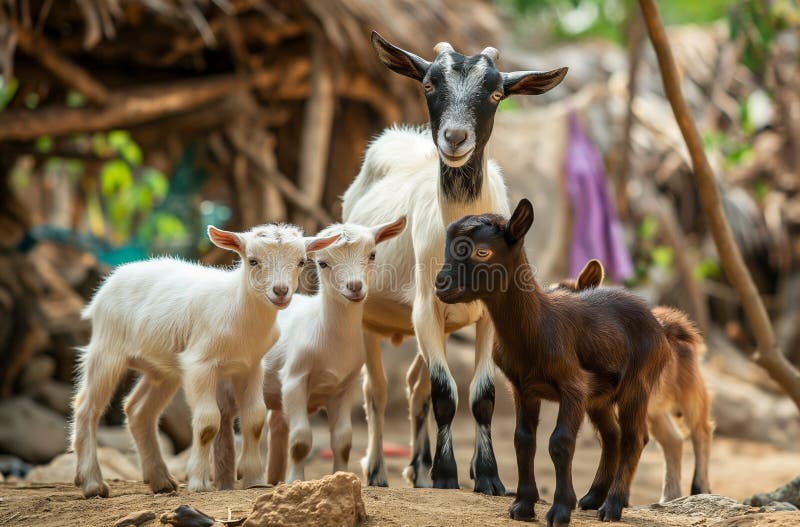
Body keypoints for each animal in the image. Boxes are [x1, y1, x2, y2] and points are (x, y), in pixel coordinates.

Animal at [71, 224, 339, 497]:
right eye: (252, 260)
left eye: (301, 261)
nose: (281, 291)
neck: (238, 307)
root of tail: (112, 279)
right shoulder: (199, 364)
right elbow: (208, 422)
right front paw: (198, 482)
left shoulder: (251, 366)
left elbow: (254, 420)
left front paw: (255, 479)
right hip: (107, 348)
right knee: (86, 407)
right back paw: (92, 483)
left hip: (162, 368)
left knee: (137, 410)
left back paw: (161, 480)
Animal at [213, 217, 406, 488]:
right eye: (323, 263)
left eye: (372, 255)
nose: (355, 287)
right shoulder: (295, 379)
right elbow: (301, 440)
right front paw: (296, 480)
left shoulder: (344, 387)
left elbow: (343, 440)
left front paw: (341, 476)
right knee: (223, 427)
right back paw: (226, 481)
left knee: (276, 424)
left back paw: (273, 479)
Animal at [341, 31, 567, 493]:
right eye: (429, 85)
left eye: (497, 93)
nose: (456, 137)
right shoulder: (426, 307)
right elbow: (446, 393)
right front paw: (447, 476)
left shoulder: (487, 319)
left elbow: (482, 397)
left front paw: (488, 477)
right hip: (369, 316)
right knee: (377, 391)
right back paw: (377, 471)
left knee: (415, 385)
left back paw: (418, 467)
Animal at [435, 199, 671, 525]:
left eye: (482, 251)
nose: (440, 285)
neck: (537, 326)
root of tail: (658, 324)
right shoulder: (523, 387)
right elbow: (523, 440)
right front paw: (523, 506)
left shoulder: (573, 386)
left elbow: (560, 442)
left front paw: (559, 510)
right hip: (600, 395)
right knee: (611, 435)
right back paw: (593, 497)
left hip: (638, 383)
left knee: (633, 438)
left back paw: (612, 506)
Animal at [552, 259, 713, 503]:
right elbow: (613, 439)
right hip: (654, 410)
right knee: (673, 441)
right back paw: (669, 497)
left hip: (690, 394)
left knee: (701, 432)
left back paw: (700, 488)